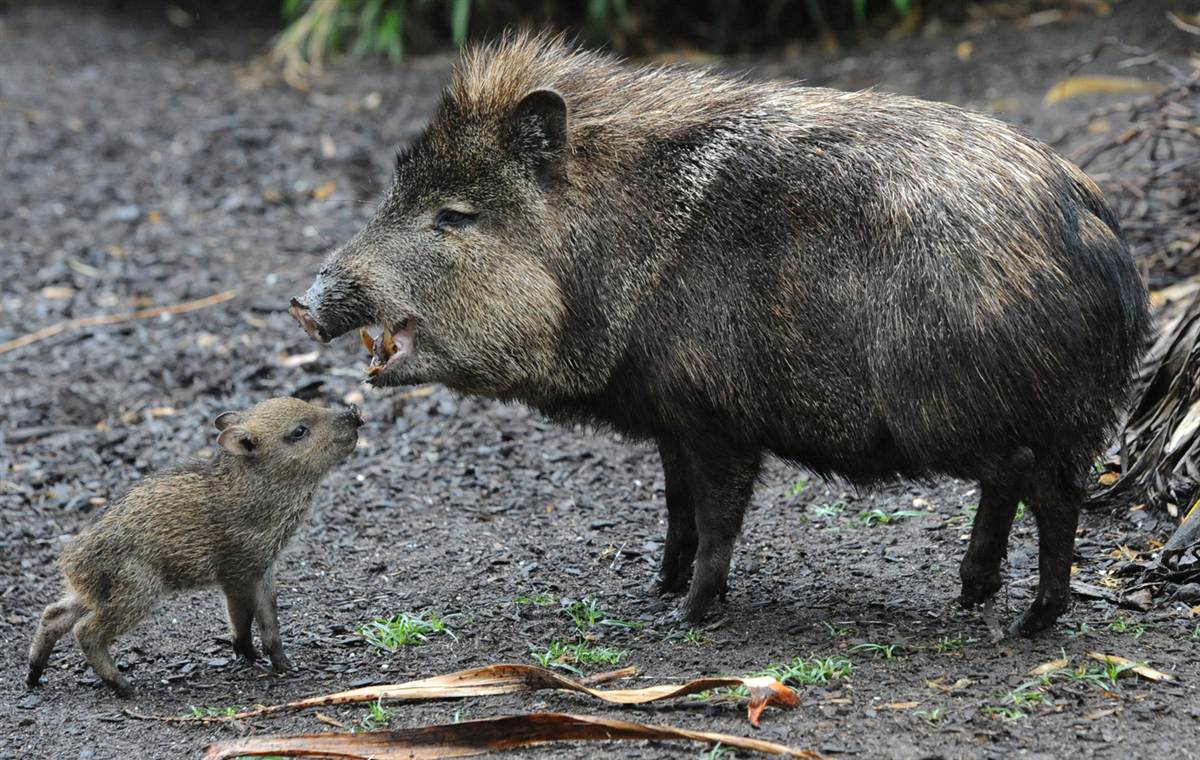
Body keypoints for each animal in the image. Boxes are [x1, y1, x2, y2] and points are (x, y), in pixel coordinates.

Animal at [290, 33, 1150, 634]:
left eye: (455, 216)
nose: (303, 302)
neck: (618, 249)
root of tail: (1101, 234)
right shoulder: (674, 419)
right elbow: (676, 505)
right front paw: (658, 586)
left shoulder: (719, 421)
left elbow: (718, 516)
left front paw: (690, 613)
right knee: (1015, 484)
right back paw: (973, 595)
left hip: (965, 411)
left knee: (1048, 491)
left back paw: (1030, 621)